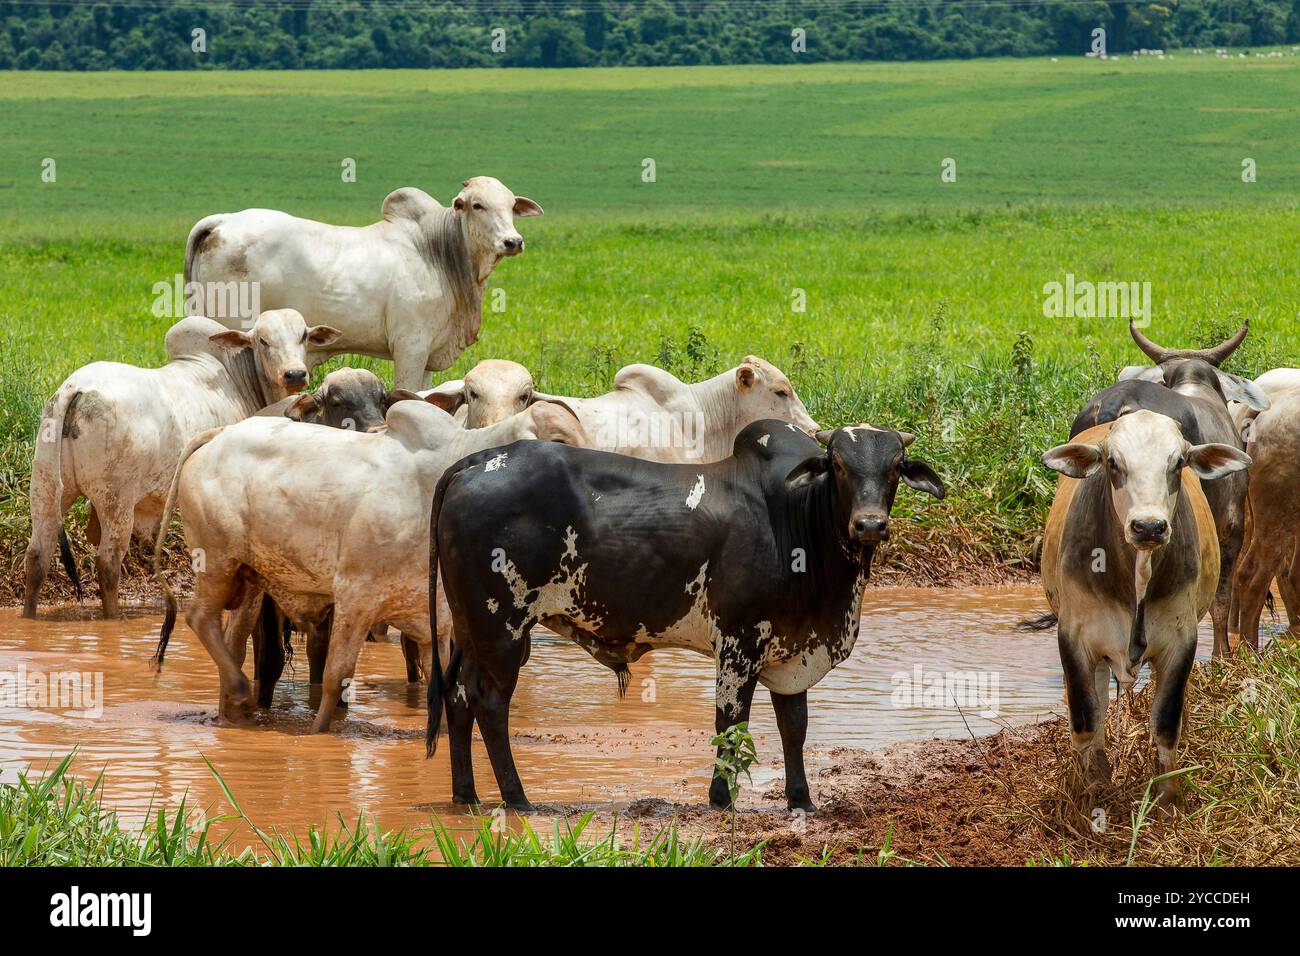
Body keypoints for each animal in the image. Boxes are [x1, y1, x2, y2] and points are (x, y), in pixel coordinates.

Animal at [22, 311, 340, 619]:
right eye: (263, 340)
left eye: (303, 335)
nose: (295, 374)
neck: (237, 379)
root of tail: (77, 389)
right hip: (117, 501)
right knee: (108, 563)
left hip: (46, 487)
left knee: (37, 555)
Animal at [150, 399, 589, 731]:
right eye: (559, 442)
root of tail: (219, 434)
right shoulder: (355, 596)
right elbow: (335, 677)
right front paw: (318, 734)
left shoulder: (434, 619)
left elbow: (439, 681)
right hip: (217, 562)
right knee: (200, 619)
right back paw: (241, 694)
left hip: (252, 578)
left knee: (232, 641)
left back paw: (232, 710)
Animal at [185, 177, 542, 390]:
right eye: (477, 205)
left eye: (511, 206)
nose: (513, 242)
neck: (439, 253)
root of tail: (223, 221)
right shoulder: (410, 347)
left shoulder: (429, 354)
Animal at [426, 420, 946, 811]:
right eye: (838, 465)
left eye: (895, 468)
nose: (870, 524)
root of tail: (477, 460)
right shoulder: (740, 643)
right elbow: (730, 724)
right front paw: (722, 798)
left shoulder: (790, 651)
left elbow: (793, 728)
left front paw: (801, 800)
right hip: (502, 626)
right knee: (489, 703)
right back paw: (517, 799)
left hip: (469, 628)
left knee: (457, 696)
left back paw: (466, 796)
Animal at [1034, 411, 1249, 807]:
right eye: (1112, 463)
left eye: (1178, 462)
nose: (1148, 527)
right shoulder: (1073, 637)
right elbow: (1084, 719)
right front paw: (1087, 795)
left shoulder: (1181, 640)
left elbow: (1165, 720)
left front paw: (1168, 798)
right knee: (1096, 708)